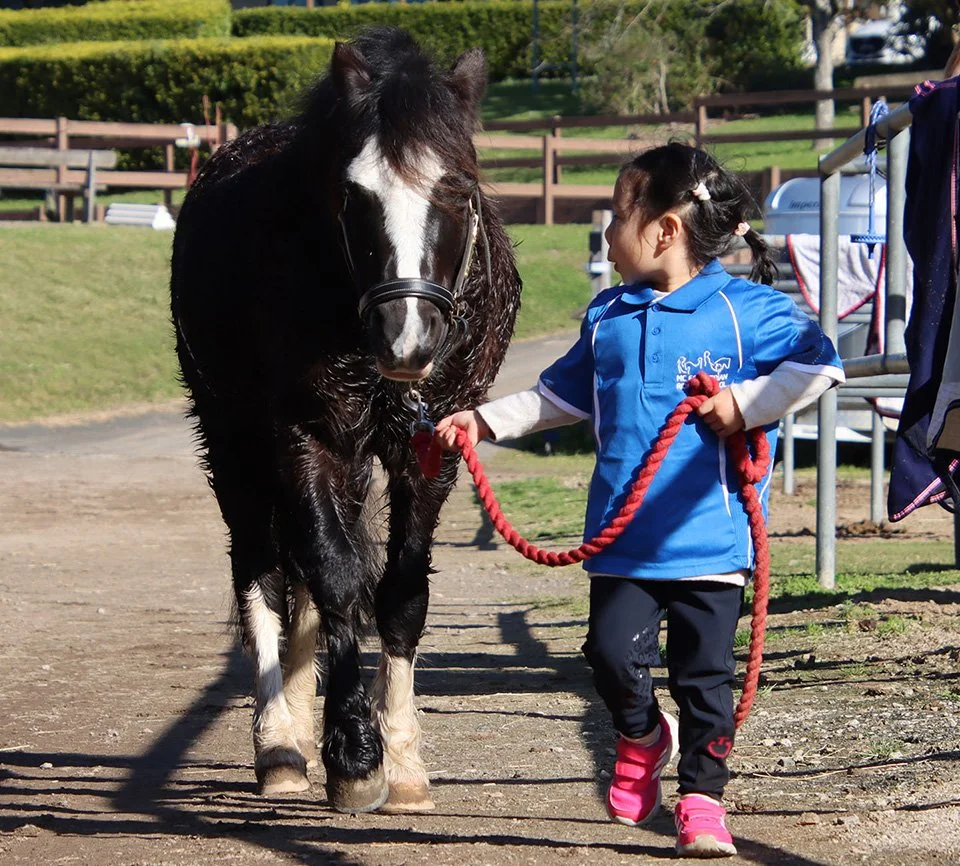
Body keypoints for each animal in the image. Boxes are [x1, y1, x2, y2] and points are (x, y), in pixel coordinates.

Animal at [170, 27, 521, 814]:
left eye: (456, 188)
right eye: (355, 194)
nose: (407, 337)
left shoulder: (430, 447)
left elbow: (397, 596)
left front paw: (404, 758)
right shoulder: (306, 438)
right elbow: (333, 578)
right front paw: (356, 757)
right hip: (233, 438)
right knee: (263, 570)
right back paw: (279, 744)